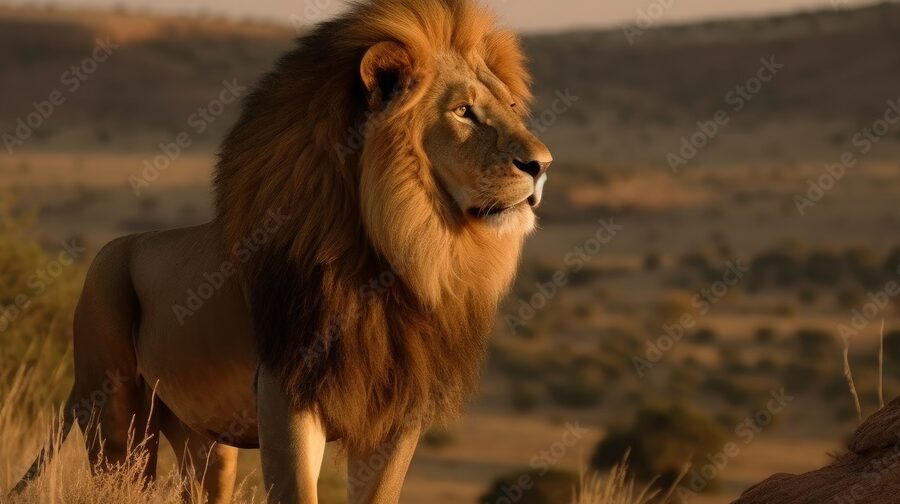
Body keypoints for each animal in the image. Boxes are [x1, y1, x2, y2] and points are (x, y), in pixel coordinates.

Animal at [14, 0, 552, 502]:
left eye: (509, 106)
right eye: (463, 111)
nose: (542, 165)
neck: (392, 253)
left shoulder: (397, 412)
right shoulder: (284, 392)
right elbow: (297, 489)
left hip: (201, 437)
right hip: (118, 416)